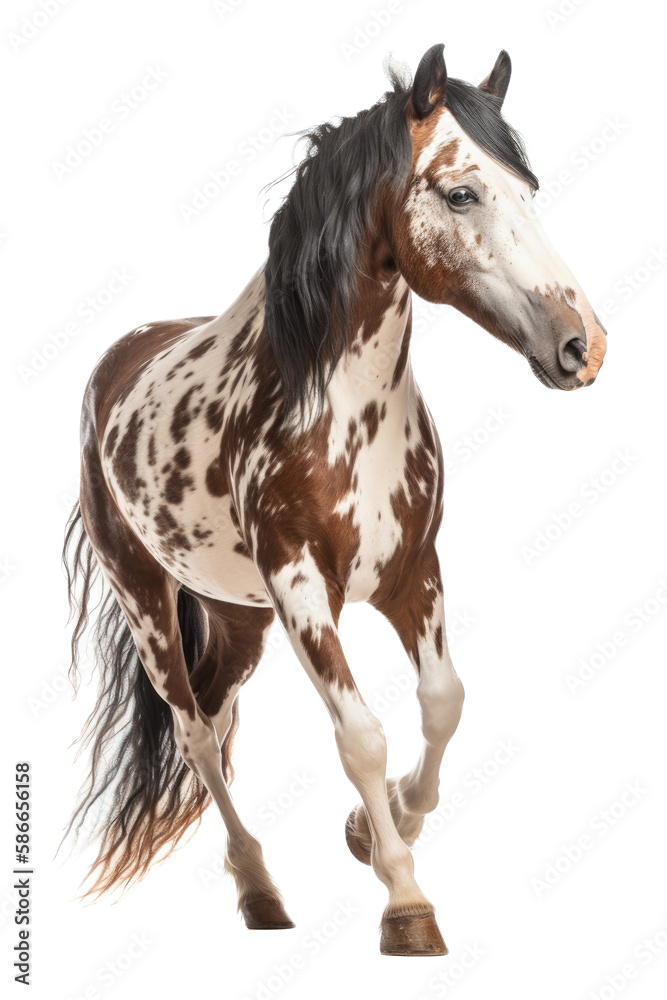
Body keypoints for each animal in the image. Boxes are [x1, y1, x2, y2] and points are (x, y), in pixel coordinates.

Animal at [63, 43, 607, 956]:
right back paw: (260, 892)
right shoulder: (302, 591)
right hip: (148, 599)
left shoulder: (411, 574)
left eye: (528, 189)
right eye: (461, 193)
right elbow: (361, 736)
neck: (335, 405)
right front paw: (405, 903)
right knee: (195, 732)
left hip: (236, 616)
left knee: (216, 717)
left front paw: (379, 824)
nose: (582, 346)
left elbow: (442, 704)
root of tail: (115, 364)